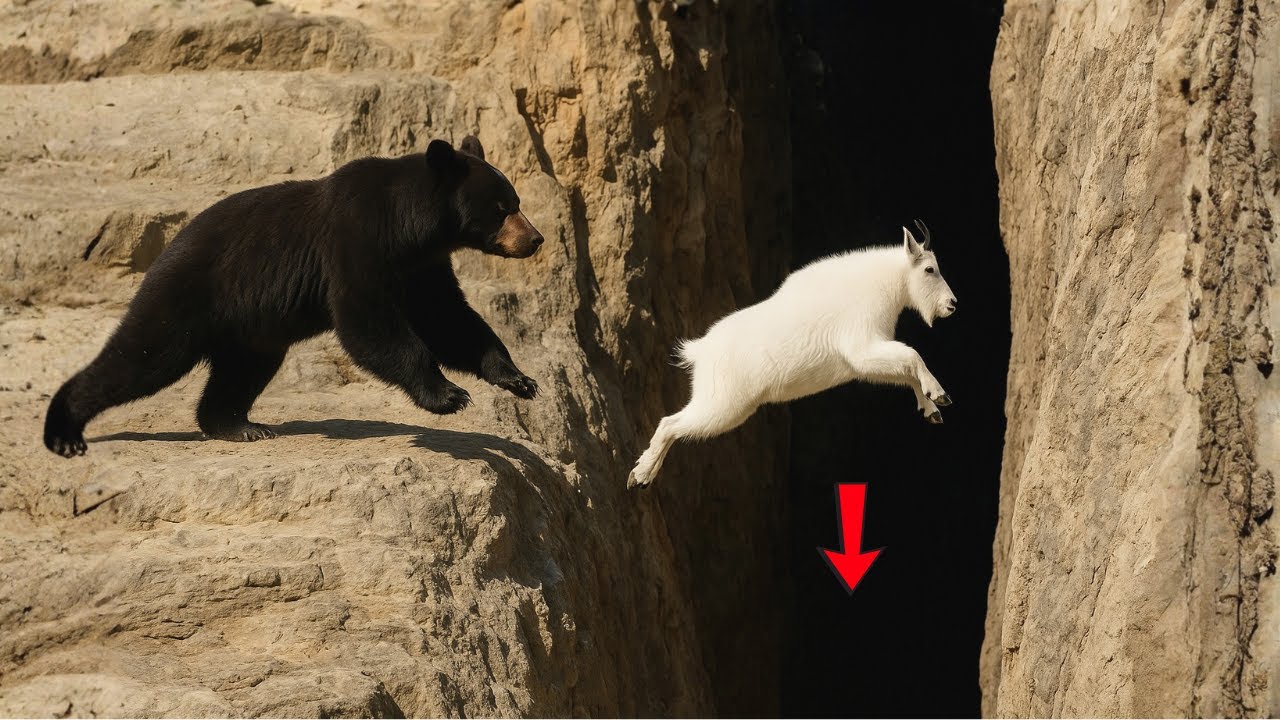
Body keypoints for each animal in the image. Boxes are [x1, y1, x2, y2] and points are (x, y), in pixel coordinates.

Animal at [44, 135, 543, 458]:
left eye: (516, 202)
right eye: (502, 208)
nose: (535, 239)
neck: (410, 226)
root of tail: (166, 250)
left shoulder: (423, 267)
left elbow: (448, 318)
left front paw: (518, 379)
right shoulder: (355, 241)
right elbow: (368, 321)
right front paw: (448, 394)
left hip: (251, 329)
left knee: (243, 370)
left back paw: (238, 425)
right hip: (190, 294)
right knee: (143, 356)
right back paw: (65, 431)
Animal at [627, 221, 958, 489]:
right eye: (929, 269)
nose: (952, 304)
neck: (885, 284)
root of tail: (700, 350)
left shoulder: (862, 362)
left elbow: (906, 371)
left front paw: (930, 408)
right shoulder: (862, 347)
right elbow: (912, 356)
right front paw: (939, 393)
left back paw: (641, 474)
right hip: (722, 405)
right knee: (669, 423)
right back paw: (640, 474)